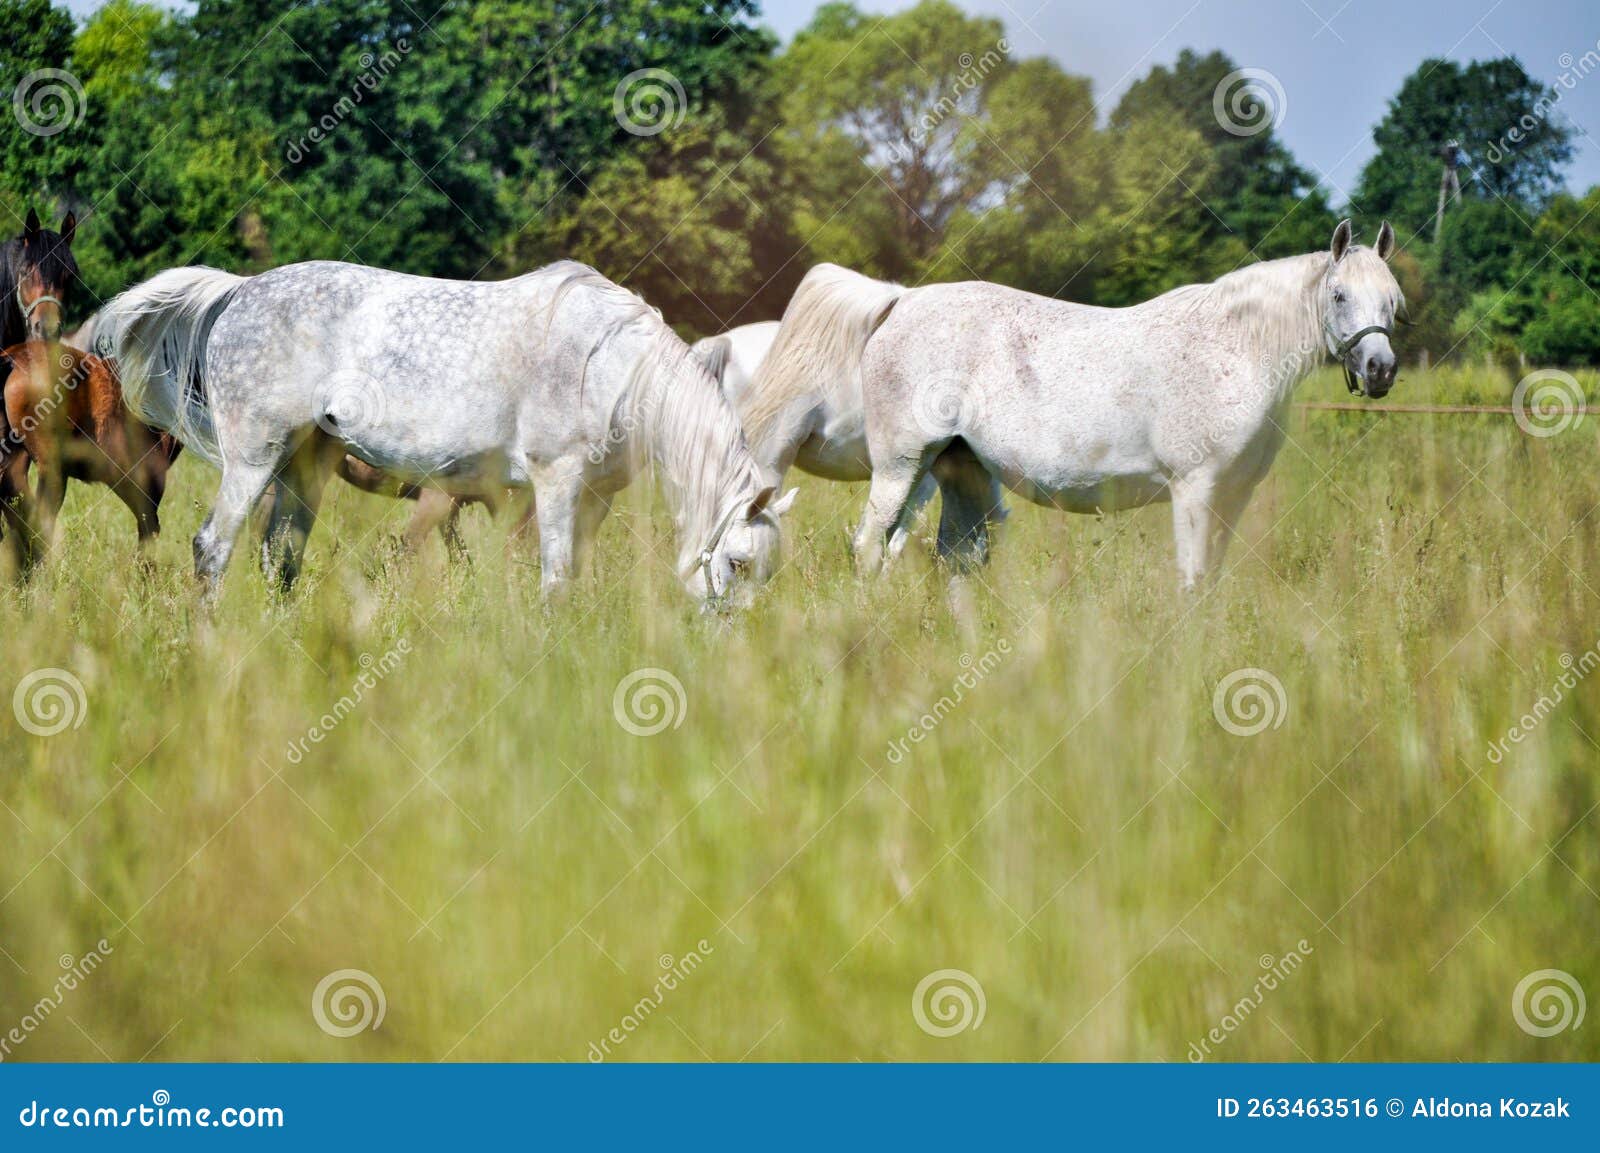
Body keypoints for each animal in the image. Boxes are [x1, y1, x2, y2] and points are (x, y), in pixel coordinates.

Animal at [93, 259, 795, 601]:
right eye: (737, 562)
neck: (613, 367)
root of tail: (239, 292)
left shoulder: (595, 497)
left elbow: (576, 575)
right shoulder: (557, 483)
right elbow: (555, 578)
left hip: (306, 465)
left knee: (281, 558)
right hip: (254, 459)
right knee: (213, 548)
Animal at [789, 219, 1396, 584]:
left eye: (1393, 299)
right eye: (1339, 295)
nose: (1381, 369)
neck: (1235, 349)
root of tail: (903, 300)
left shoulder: (1232, 496)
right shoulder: (1195, 490)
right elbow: (1192, 580)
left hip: (959, 470)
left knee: (952, 559)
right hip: (900, 467)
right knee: (870, 546)